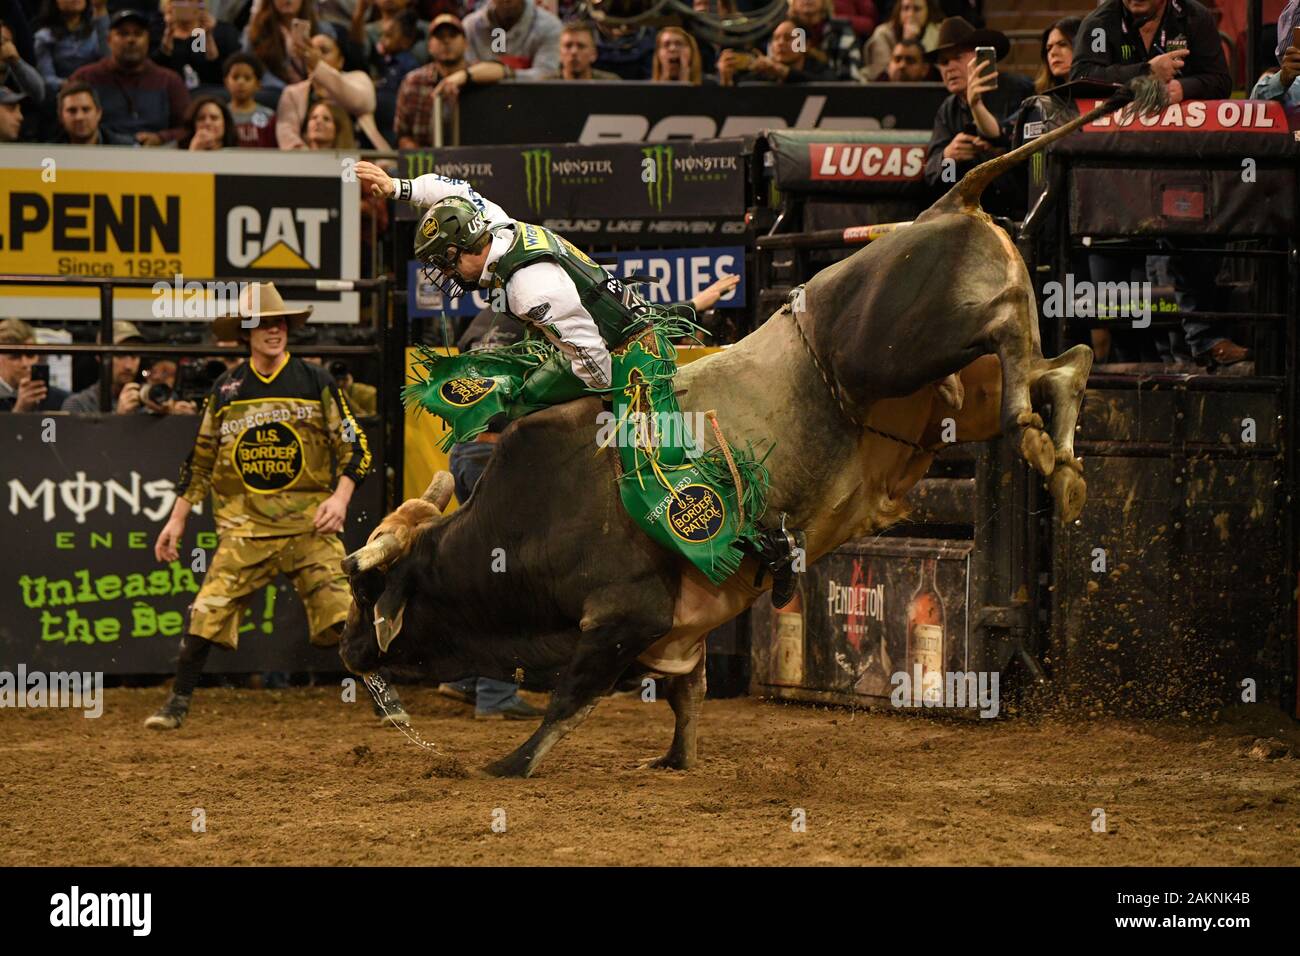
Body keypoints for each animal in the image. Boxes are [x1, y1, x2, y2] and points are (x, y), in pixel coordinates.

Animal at [341, 80, 1161, 777]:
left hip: (900, 348)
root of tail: (947, 204)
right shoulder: (678, 636)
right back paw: (1059, 452)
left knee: (1012, 344)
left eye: (369, 589)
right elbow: (687, 696)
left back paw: (1041, 437)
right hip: (951, 396)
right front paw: (675, 761)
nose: (347, 652)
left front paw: (509, 764)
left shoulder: (621, 617)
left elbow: (572, 699)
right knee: (1064, 362)